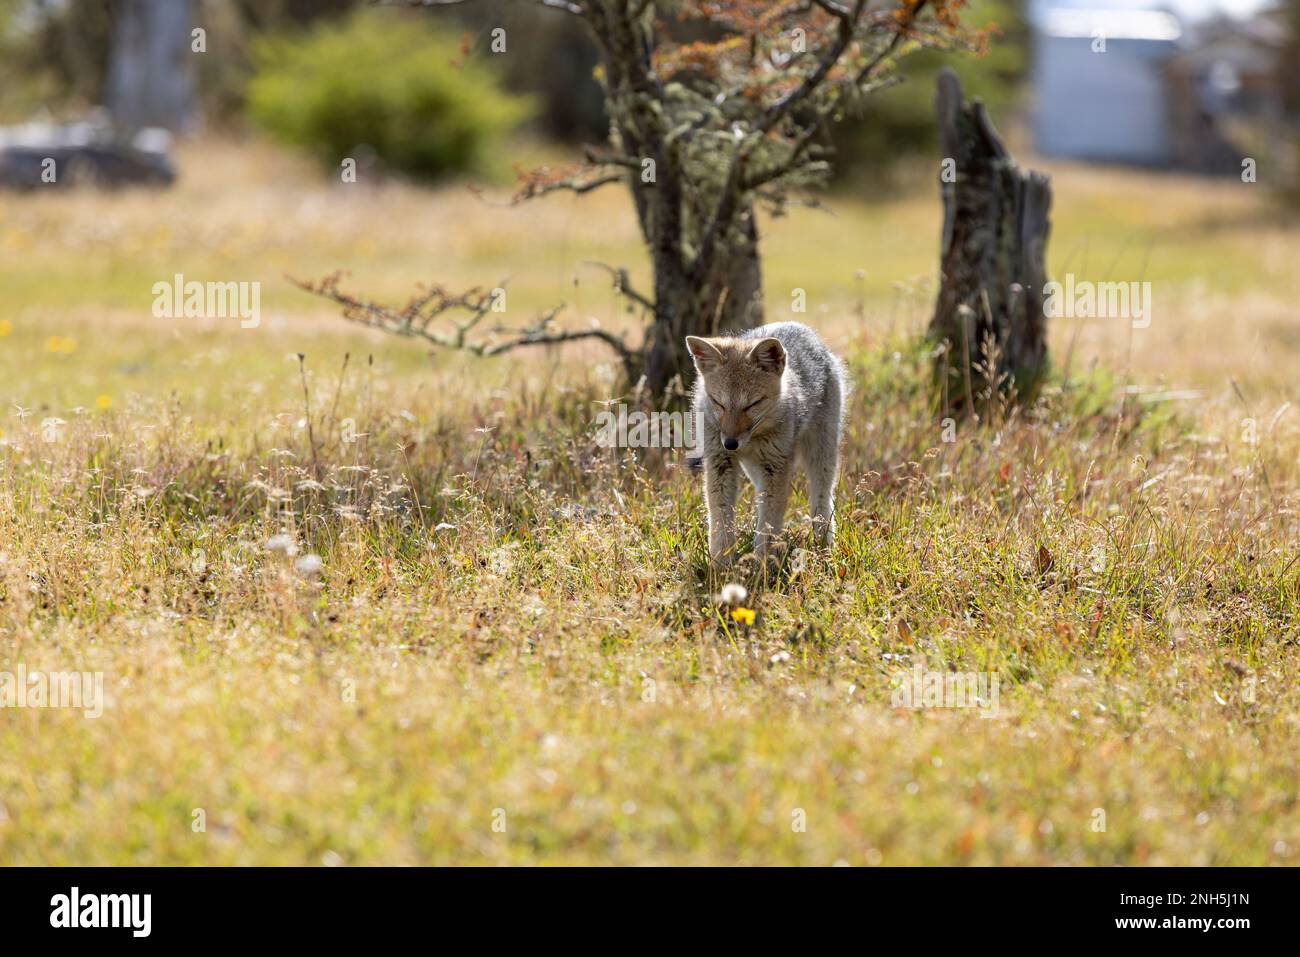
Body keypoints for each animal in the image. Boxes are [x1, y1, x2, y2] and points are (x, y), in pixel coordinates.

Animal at [686, 321, 848, 567]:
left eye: (752, 404)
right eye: (718, 403)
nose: (730, 443)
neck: (751, 441)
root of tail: (801, 327)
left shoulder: (776, 467)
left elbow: (770, 520)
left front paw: (762, 564)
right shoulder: (719, 462)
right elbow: (720, 516)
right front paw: (721, 563)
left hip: (820, 457)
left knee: (822, 499)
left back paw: (823, 545)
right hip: (755, 470)